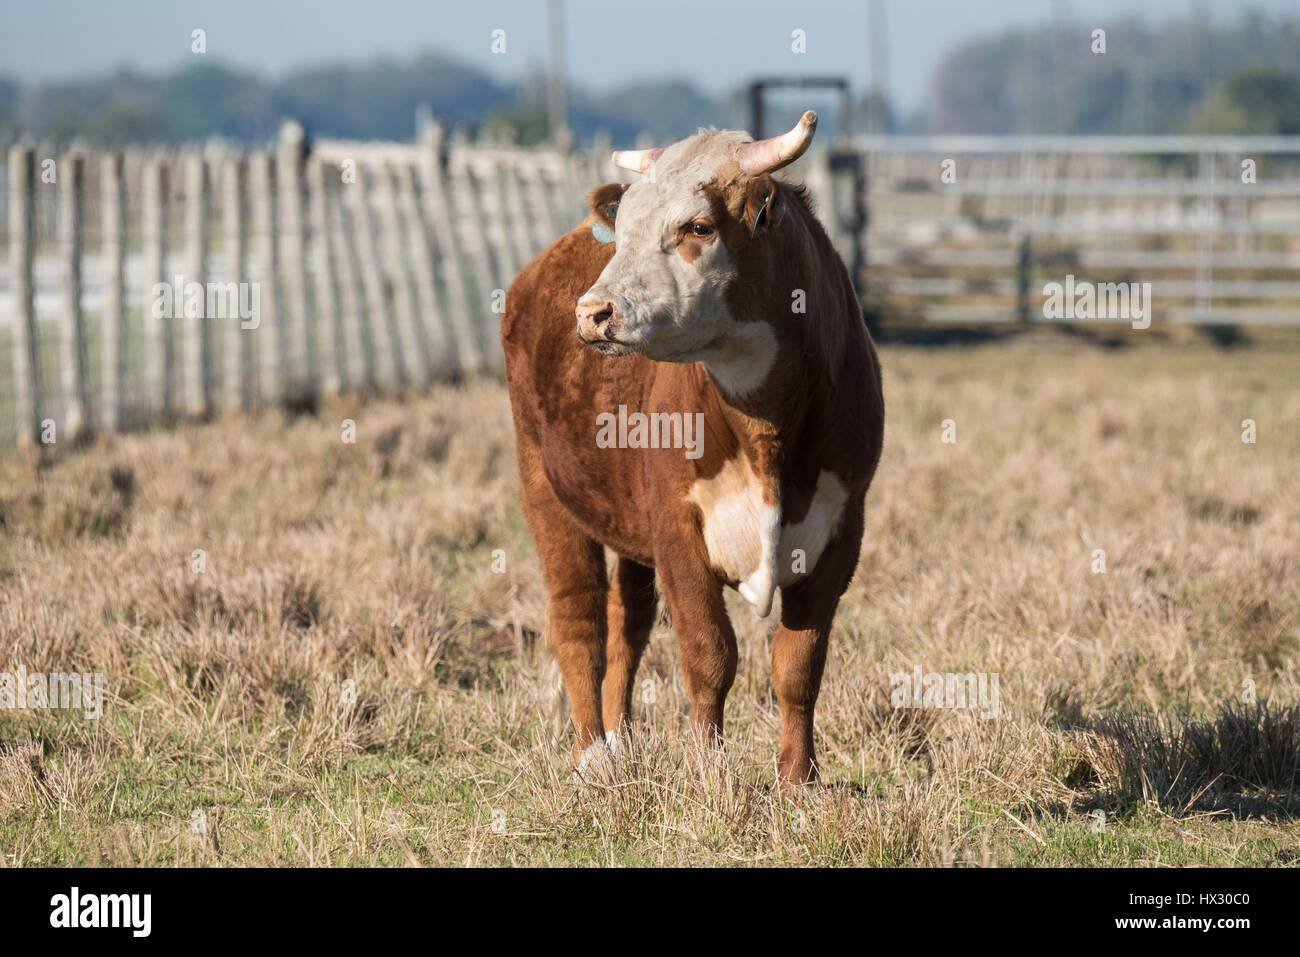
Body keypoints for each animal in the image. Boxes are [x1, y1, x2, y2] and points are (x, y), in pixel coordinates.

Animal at [502, 111, 884, 785]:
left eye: (698, 227)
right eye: (624, 228)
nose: (593, 312)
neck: (766, 429)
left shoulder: (842, 528)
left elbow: (799, 663)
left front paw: (798, 780)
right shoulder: (678, 525)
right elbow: (709, 654)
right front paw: (708, 772)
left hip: (626, 517)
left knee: (627, 621)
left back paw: (621, 739)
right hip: (543, 487)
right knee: (578, 618)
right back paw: (592, 755)